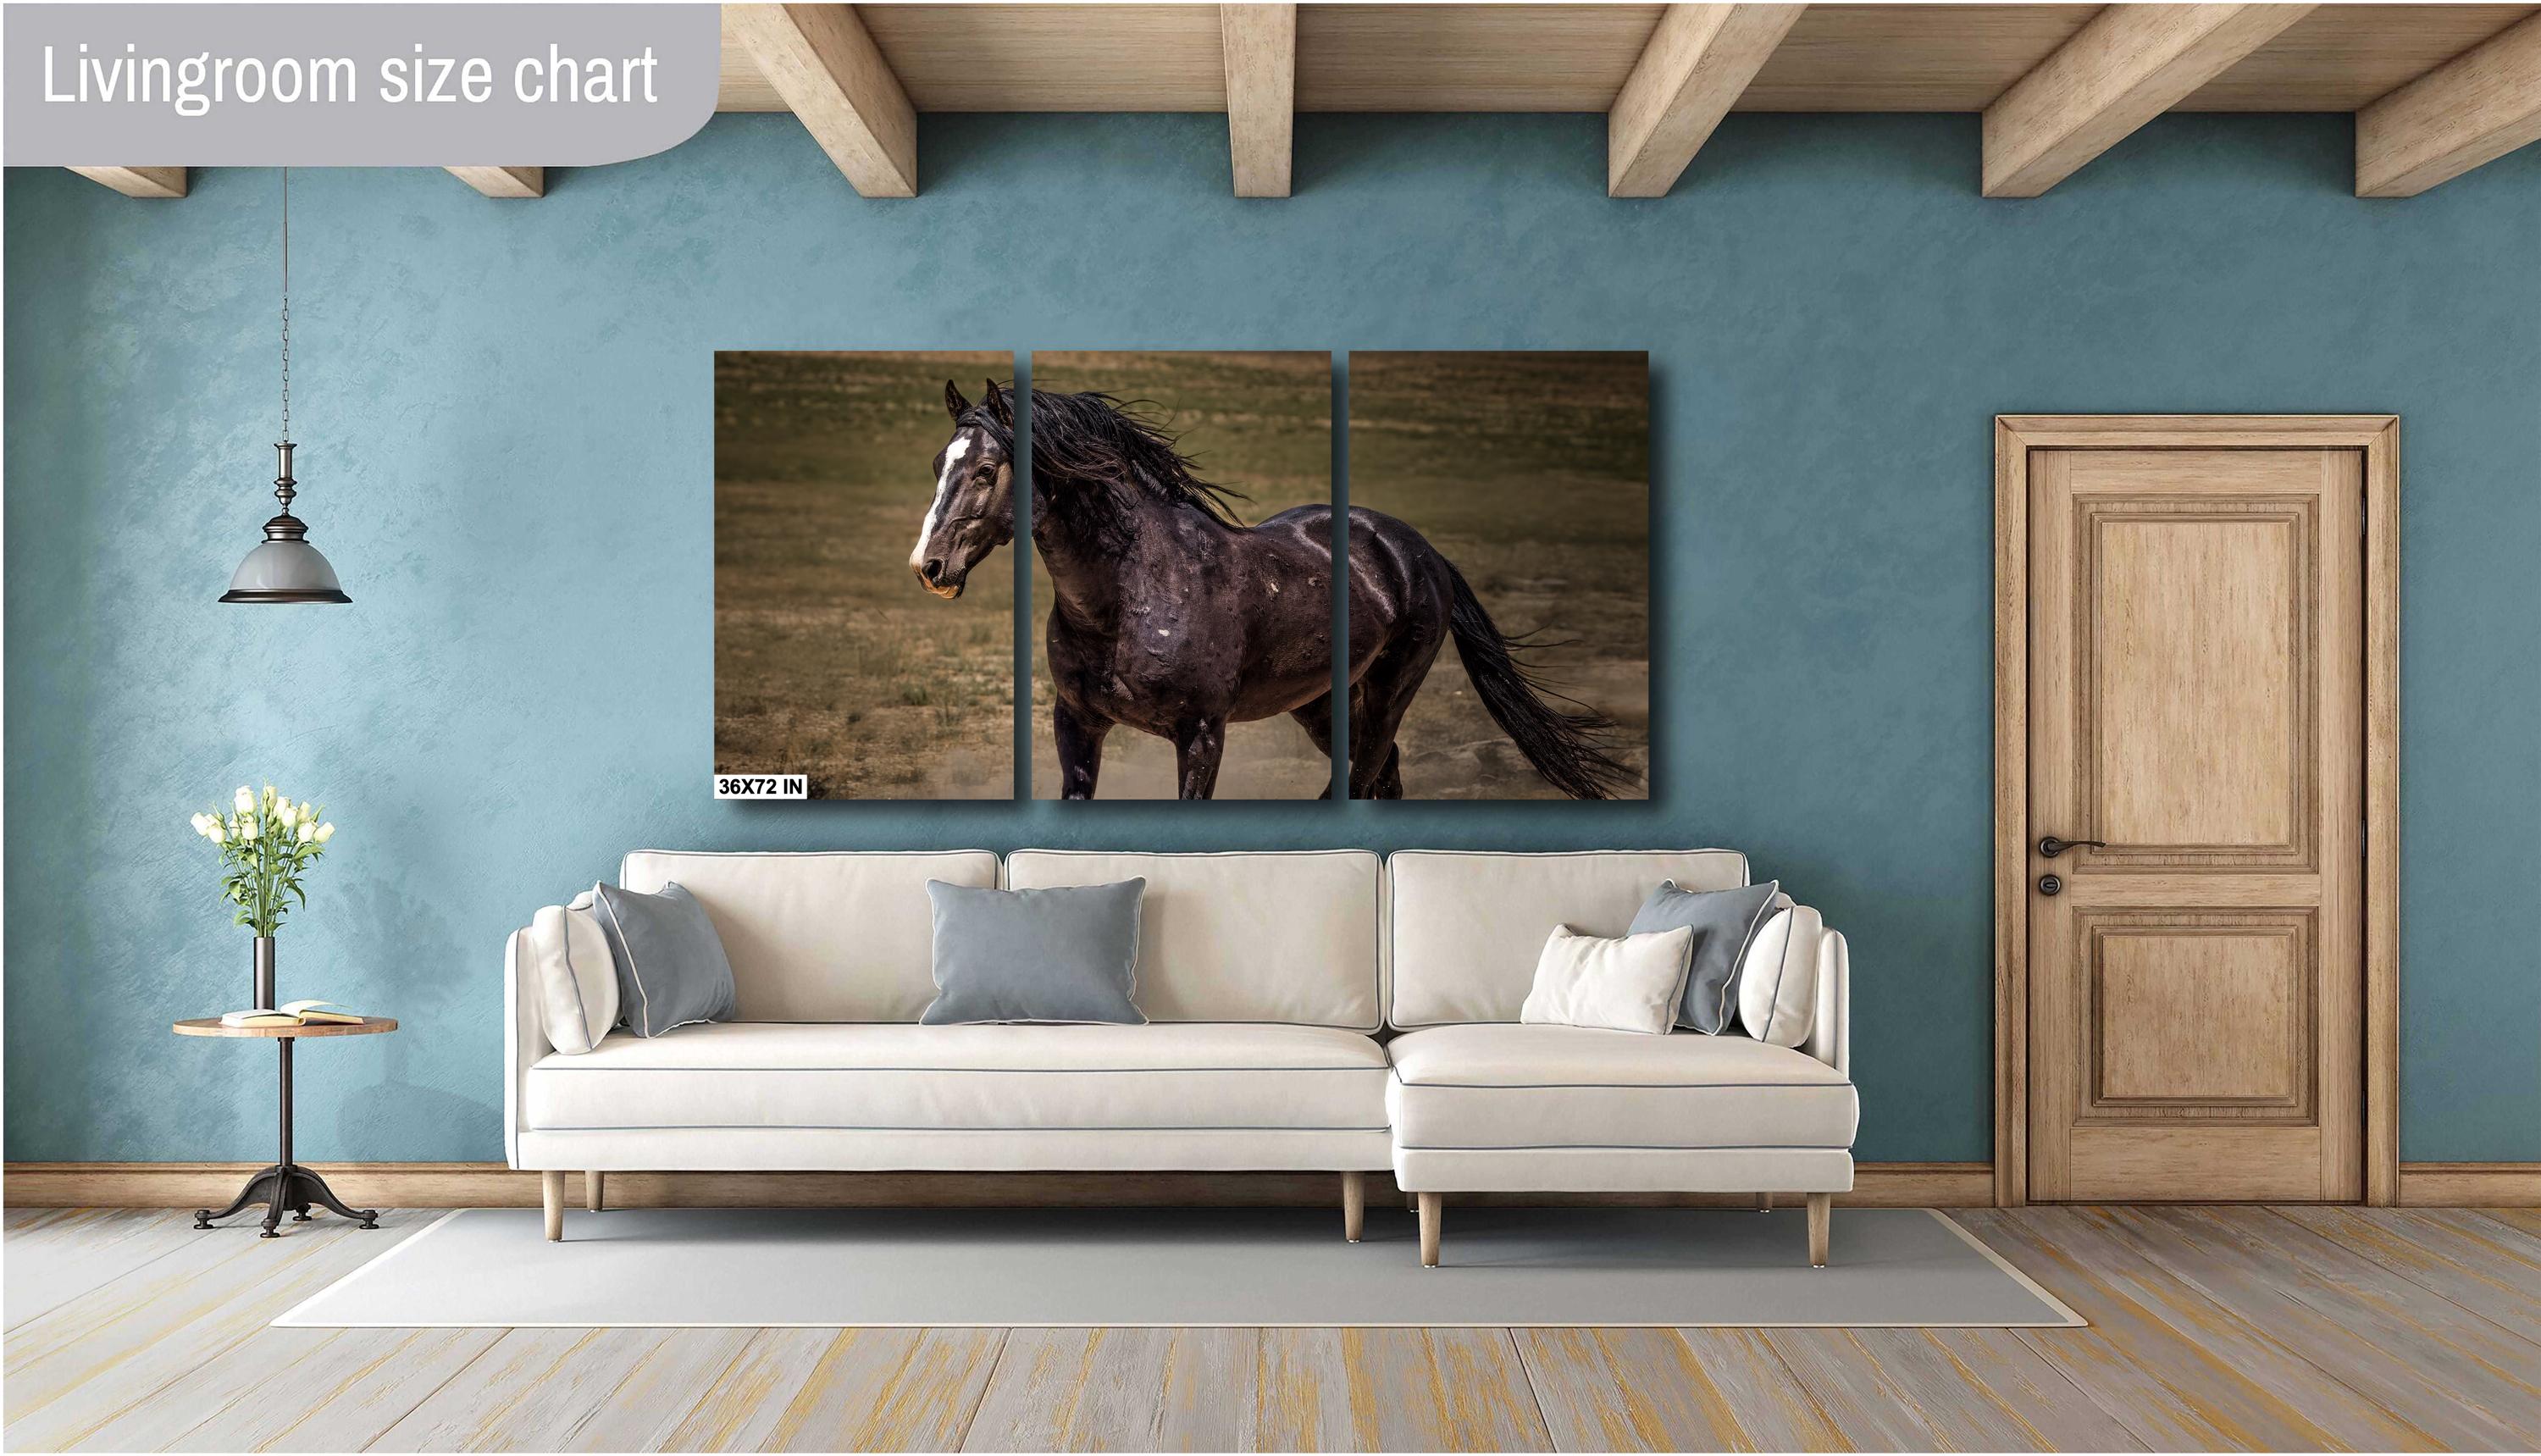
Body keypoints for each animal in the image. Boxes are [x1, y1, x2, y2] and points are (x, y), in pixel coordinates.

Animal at [910, 380, 1631, 801]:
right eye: (939, 462)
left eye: (986, 470)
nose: (929, 565)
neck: (1130, 596)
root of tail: (1419, 552)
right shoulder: (1076, 723)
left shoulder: (1202, 735)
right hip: (1320, 702)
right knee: (1385, 772)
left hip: (1391, 688)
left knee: (1366, 773)